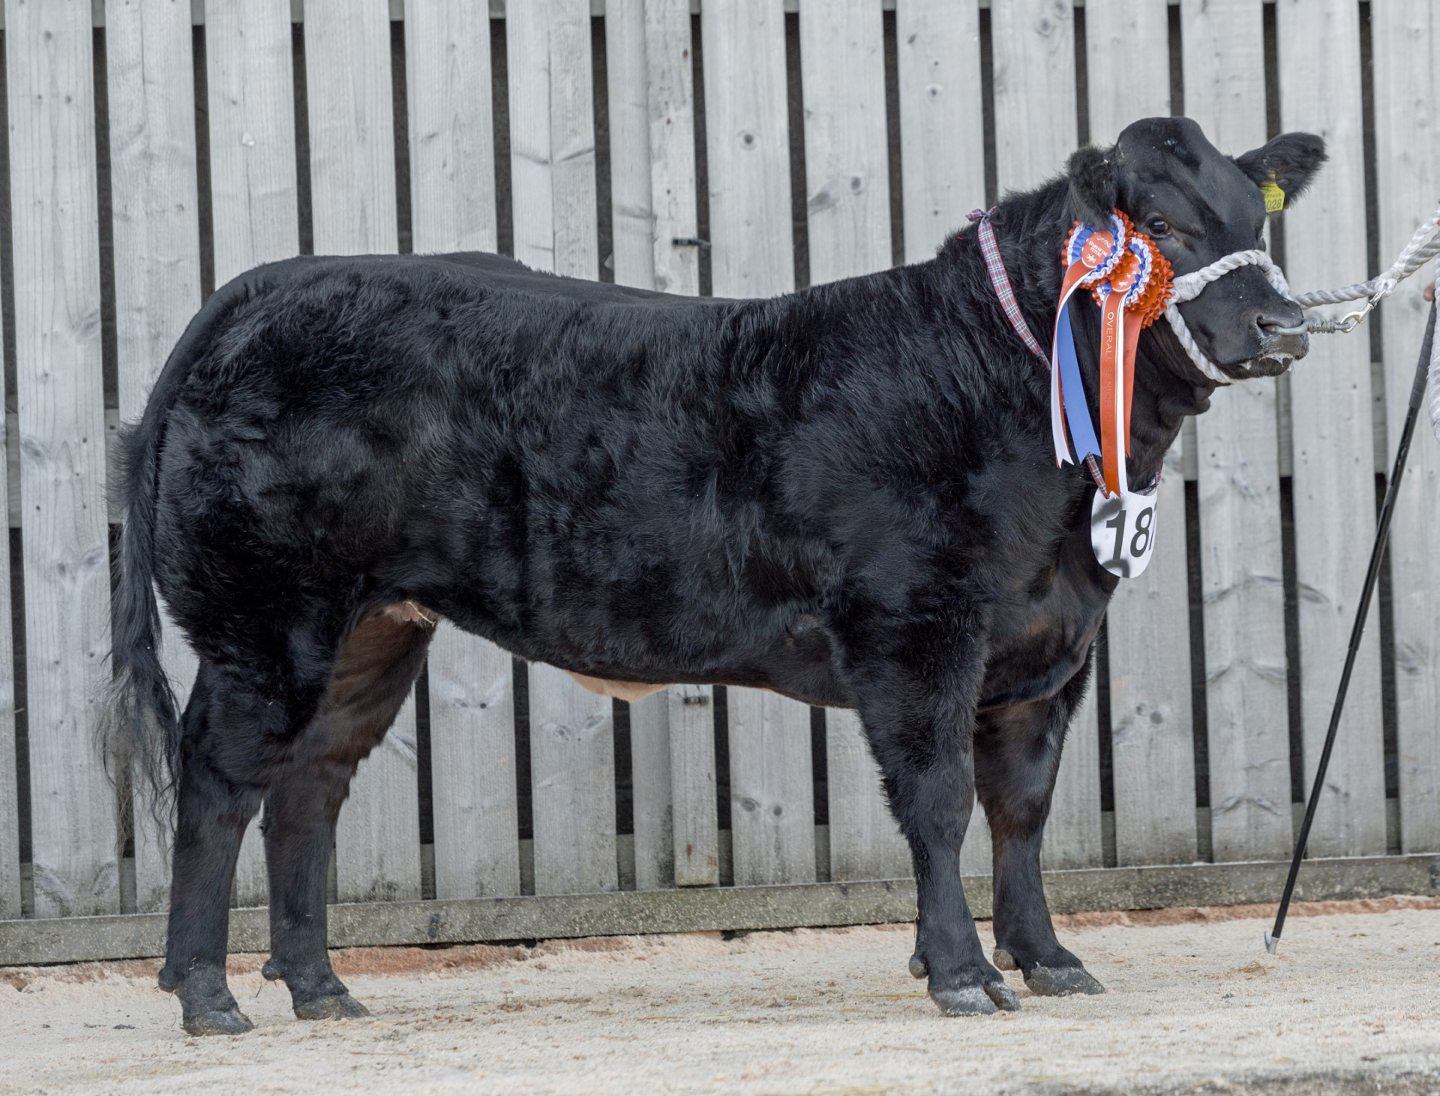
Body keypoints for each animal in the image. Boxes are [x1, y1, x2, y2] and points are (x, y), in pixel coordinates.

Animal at [107, 116, 1324, 1035]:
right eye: (1156, 226)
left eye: (1258, 217)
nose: (1283, 324)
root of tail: (267, 286)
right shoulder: (917, 627)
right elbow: (937, 804)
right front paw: (962, 974)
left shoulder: (1049, 641)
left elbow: (1022, 808)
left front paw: (1050, 959)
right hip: (266, 621)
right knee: (221, 780)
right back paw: (208, 994)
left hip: (371, 626)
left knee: (309, 787)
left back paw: (320, 989)